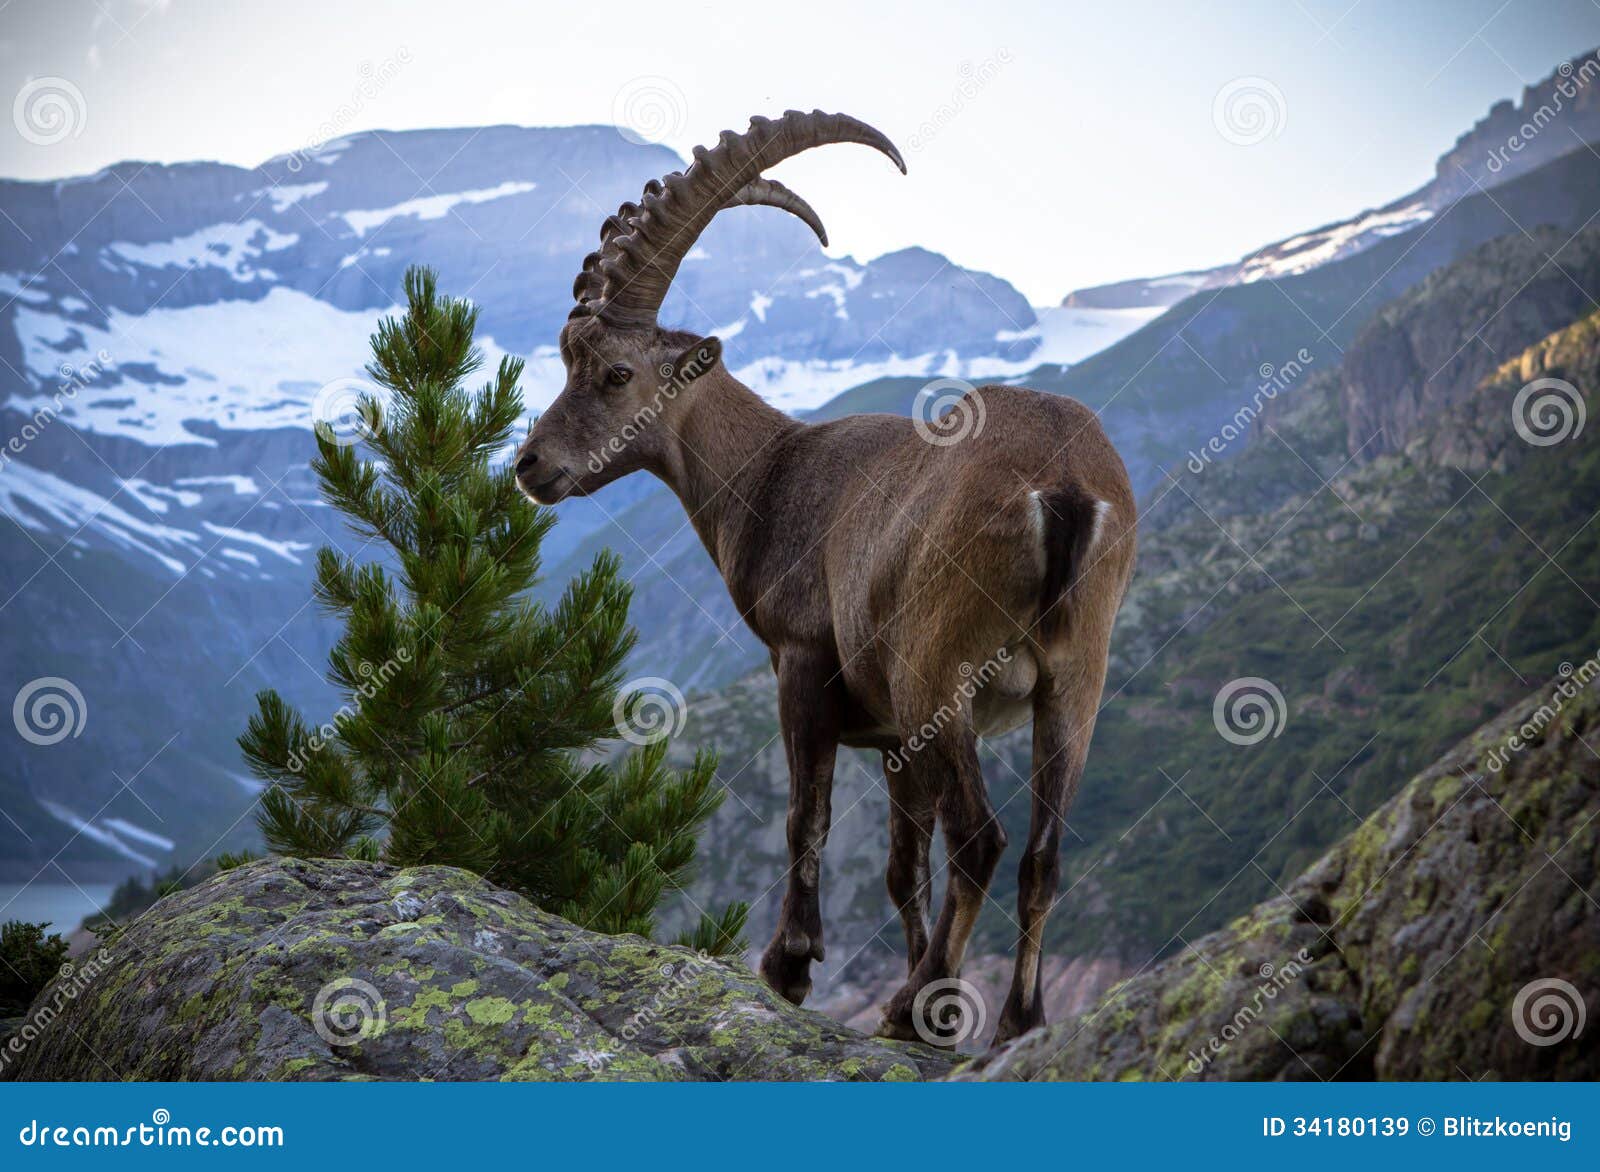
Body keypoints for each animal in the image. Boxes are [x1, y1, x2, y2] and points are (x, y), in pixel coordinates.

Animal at [516, 111, 1135, 1046]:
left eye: (615, 374)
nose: (530, 466)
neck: (774, 472)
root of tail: (1059, 487)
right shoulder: (892, 739)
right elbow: (900, 867)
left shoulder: (802, 662)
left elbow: (805, 815)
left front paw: (790, 963)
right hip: (1073, 682)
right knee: (1039, 855)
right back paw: (1013, 1022)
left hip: (938, 673)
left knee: (981, 841)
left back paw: (914, 1001)